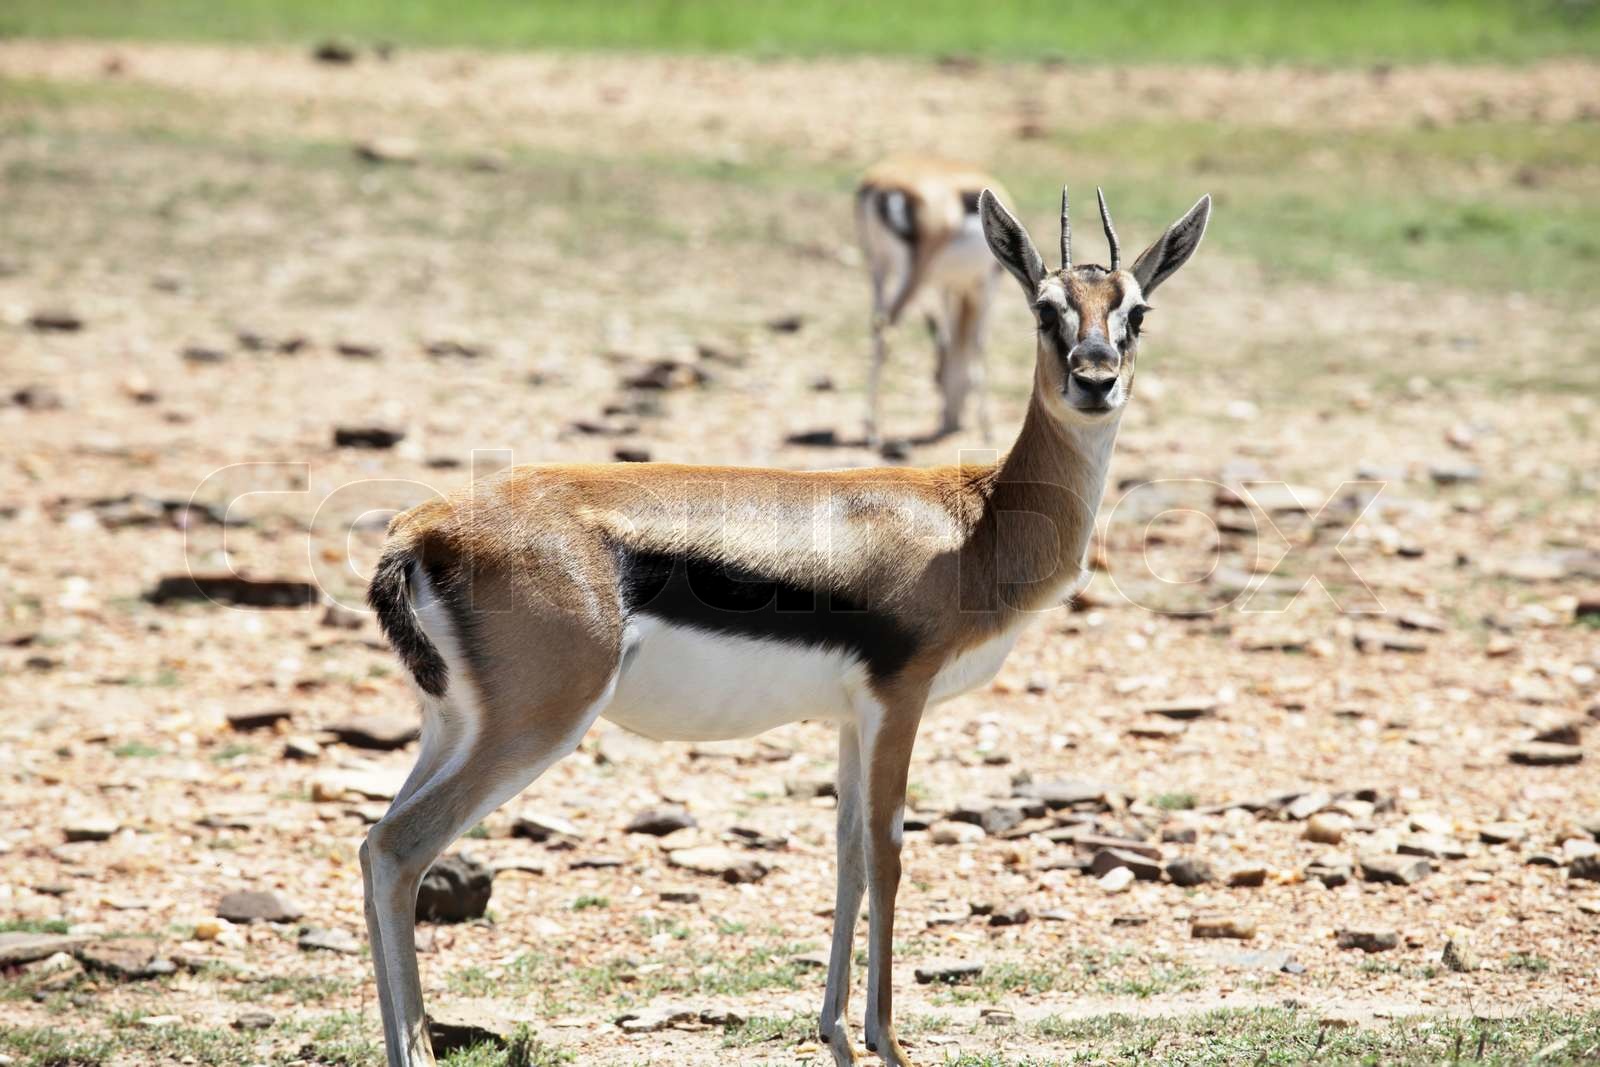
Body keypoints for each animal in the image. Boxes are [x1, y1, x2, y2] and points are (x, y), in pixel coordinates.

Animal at [855, 157, 1008, 447]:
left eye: (935, 377)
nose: (954, 420)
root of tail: (880, 183)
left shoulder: (946, 286)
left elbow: (949, 340)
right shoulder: (987, 285)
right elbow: (978, 343)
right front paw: (988, 427)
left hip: (877, 267)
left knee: (876, 323)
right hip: (914, 273)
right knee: (887, 327)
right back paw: (871, 429)